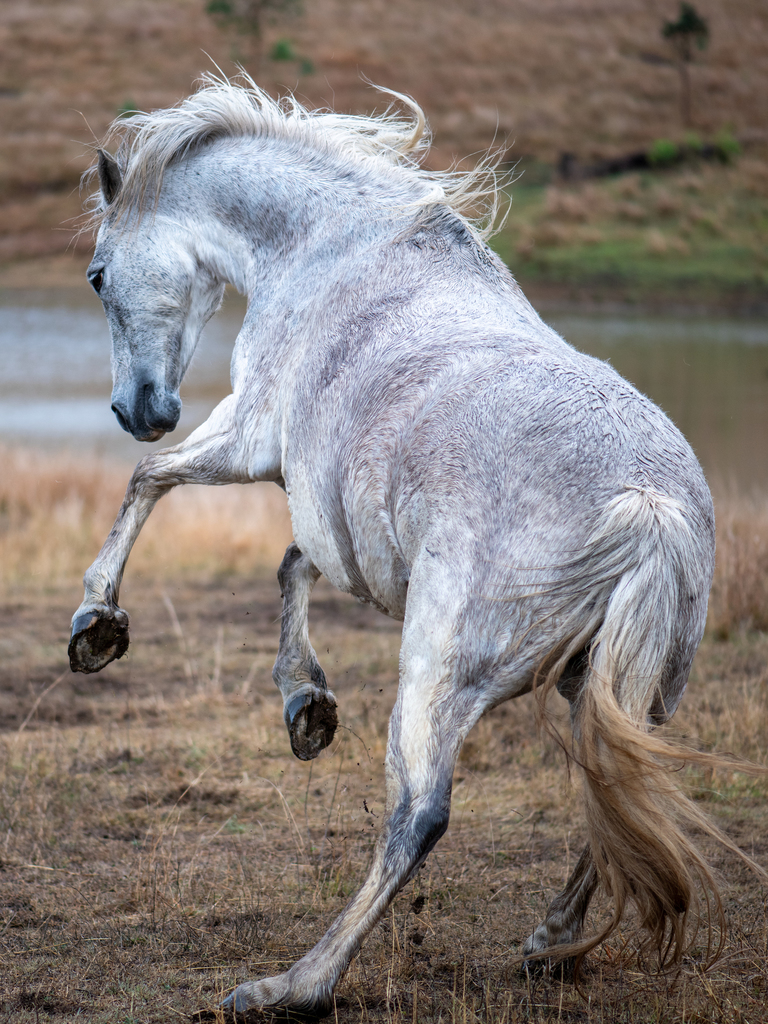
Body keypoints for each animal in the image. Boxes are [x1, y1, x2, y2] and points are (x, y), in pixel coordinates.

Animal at [68, 73, 736, 1015]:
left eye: (97, 276)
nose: (137, 409)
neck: (327, 248)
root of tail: (653, 513)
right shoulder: (333, 508)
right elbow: (290, 564)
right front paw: (305, 704)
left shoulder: (251, 439)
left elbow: (151, 482)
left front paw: (97, 624)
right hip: (616, 688)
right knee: (608, 782)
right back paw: (549, 942)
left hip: (438, 677)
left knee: (419, 815)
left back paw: (296, 984)